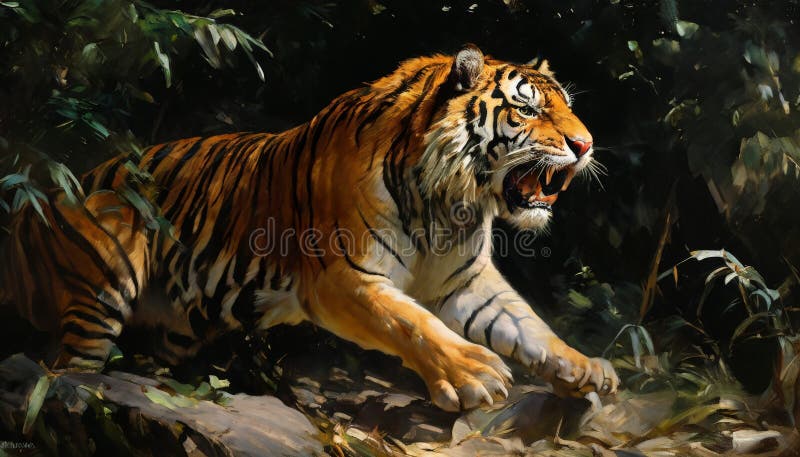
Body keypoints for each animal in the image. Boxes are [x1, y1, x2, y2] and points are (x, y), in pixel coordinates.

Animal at [3, 44, 618, 412]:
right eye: (528, 109)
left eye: (566, 106)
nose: (586, 144)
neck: (450, 202)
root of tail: (41, 197)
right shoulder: (342, 278)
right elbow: (412, 325)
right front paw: (475, 374)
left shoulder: (464, 281)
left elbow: (527, 324)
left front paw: (586, 369)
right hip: (105, 271)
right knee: (63, 372)